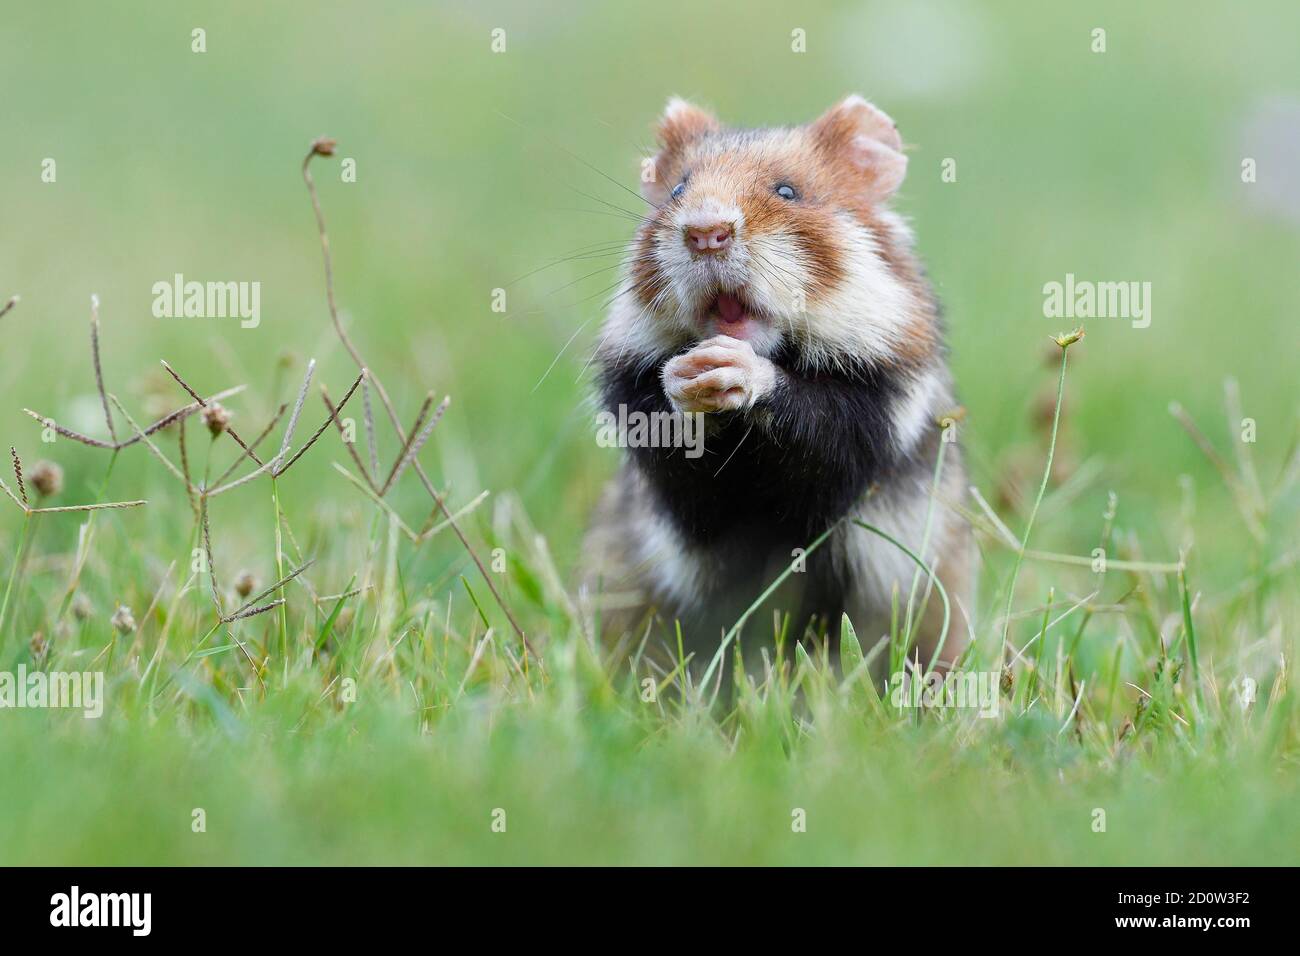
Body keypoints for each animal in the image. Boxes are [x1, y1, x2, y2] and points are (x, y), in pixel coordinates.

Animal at [583, 95, 972, 675]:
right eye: (677, 191)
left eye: (788, 192)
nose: (705, 231)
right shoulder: (668, 479)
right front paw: (686, 378)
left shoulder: (878, 413)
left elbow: (819, 423)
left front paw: (733, 369)